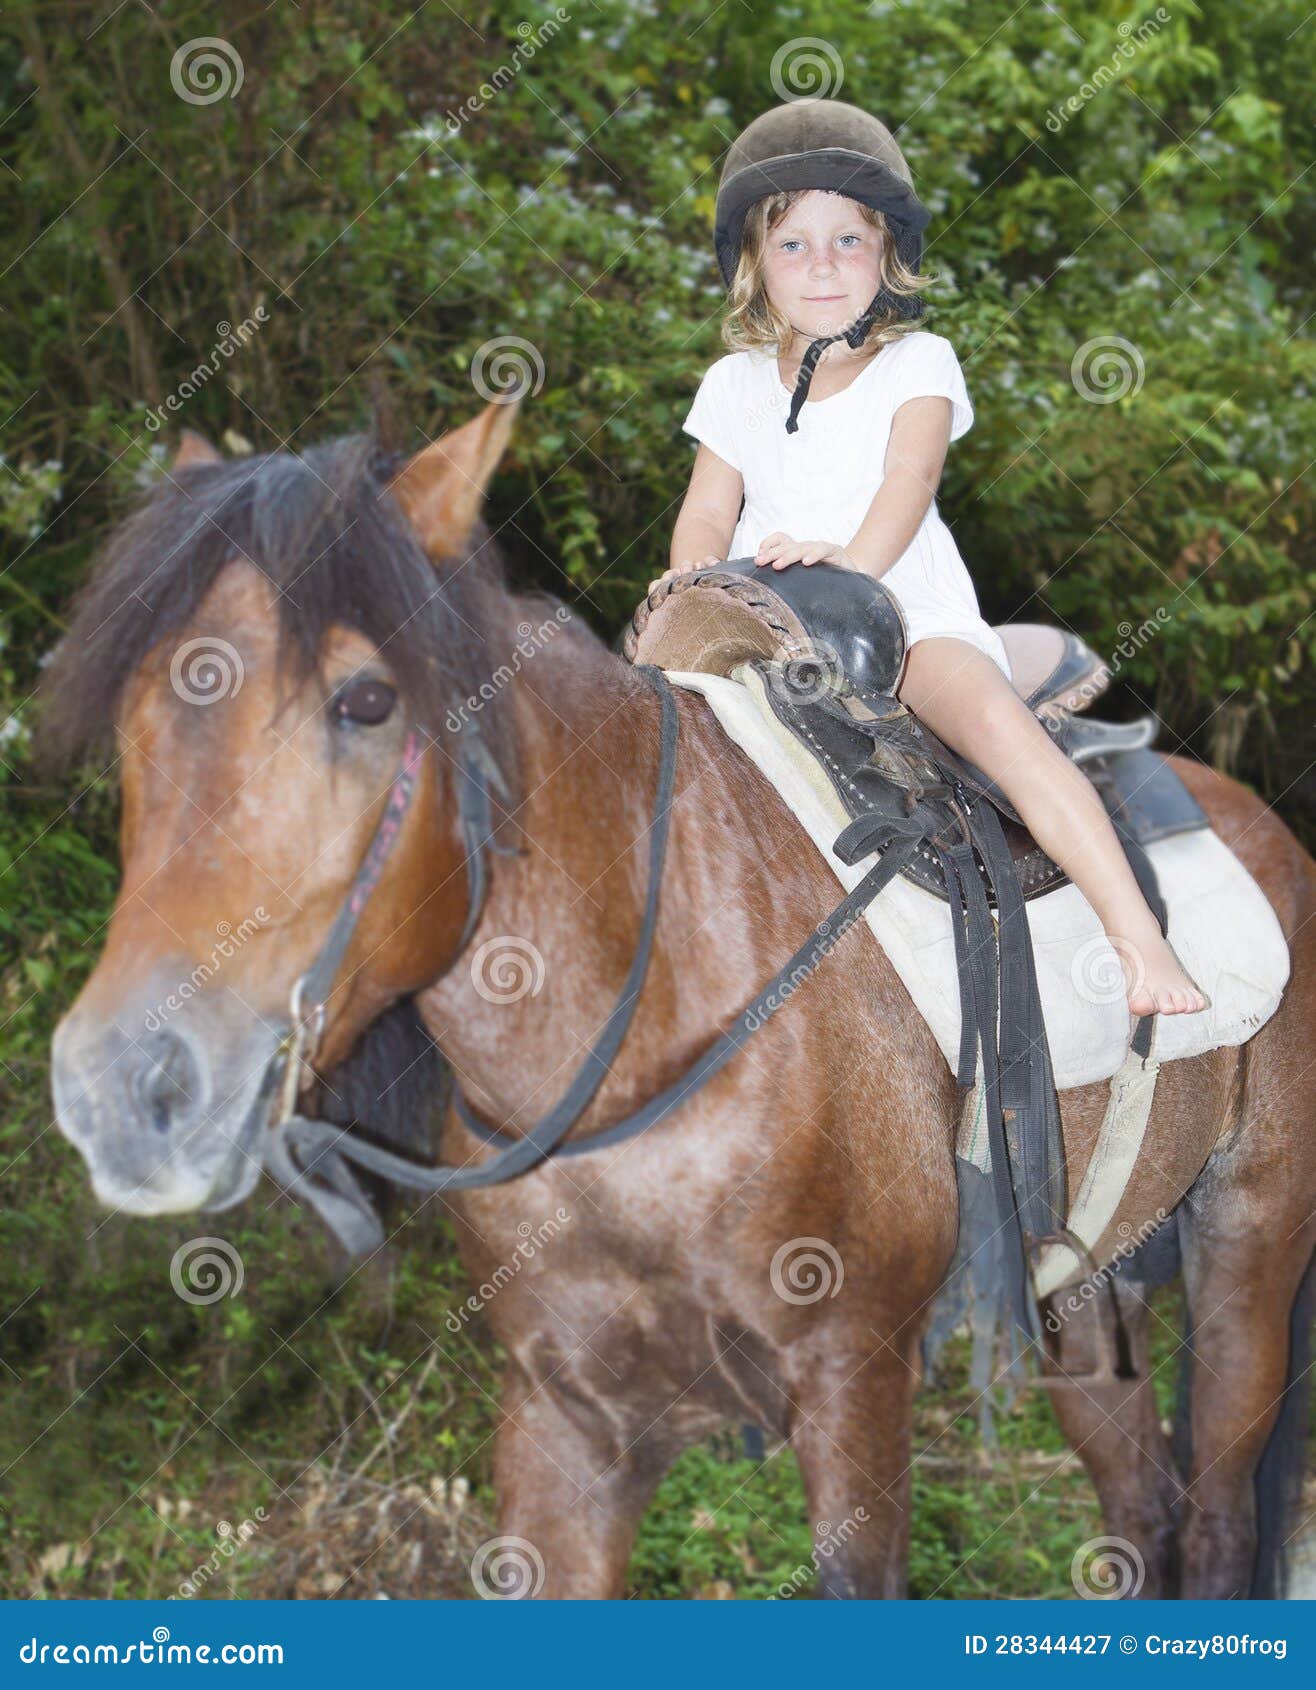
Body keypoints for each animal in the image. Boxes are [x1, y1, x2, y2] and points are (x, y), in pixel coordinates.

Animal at [40, 394, 1316, 1599]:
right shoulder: (562, 1423)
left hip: (1246, 1244)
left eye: (364, 700)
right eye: (130, 716)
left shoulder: (853, 1383)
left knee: (1215, 1517)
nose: (121, 1094)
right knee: (1138, 1507)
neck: (647, 1022)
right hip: (1086, 1286)